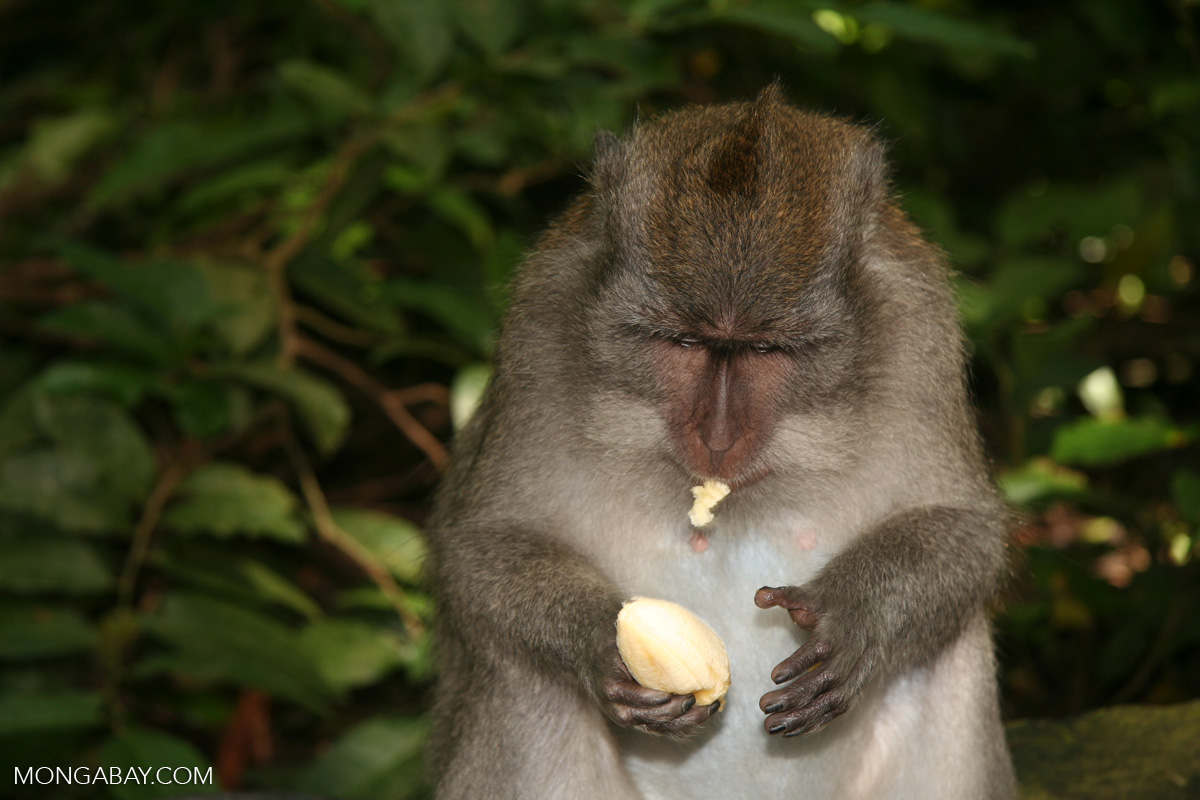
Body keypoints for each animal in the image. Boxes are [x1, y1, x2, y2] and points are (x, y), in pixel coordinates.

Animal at [424, 85, 1017, 800]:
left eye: (767, 349)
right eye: (682, 340)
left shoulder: (918, 321)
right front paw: (597, 641)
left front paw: (856, 614)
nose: (717, 436)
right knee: (526, 682)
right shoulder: (541, 323)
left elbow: (965, 529)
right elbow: (482, 547)